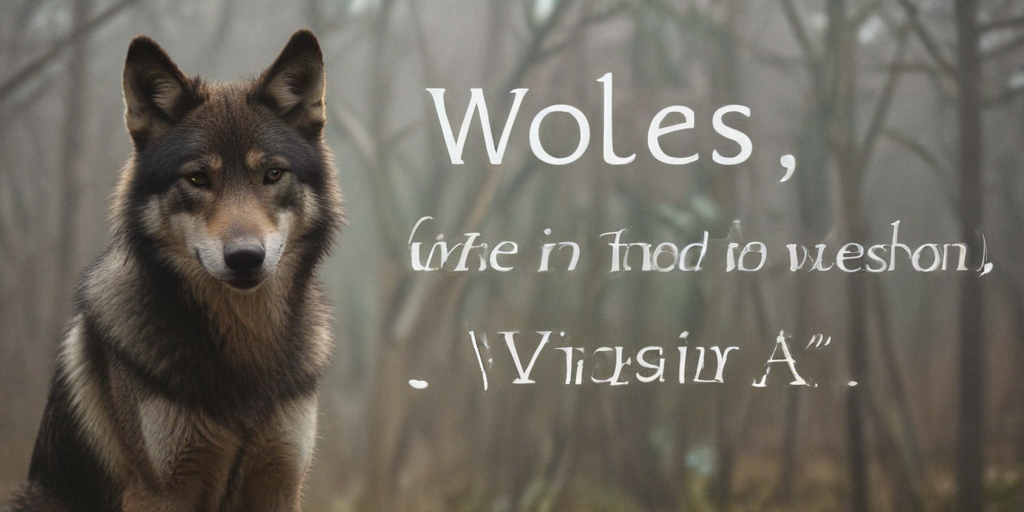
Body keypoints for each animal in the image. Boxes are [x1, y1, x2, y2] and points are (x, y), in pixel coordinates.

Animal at [2, 29, 343, 512]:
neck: (245, 350)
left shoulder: (279, 482)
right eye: (198, 179)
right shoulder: (160, 491)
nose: (245, 257)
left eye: (273, 174)